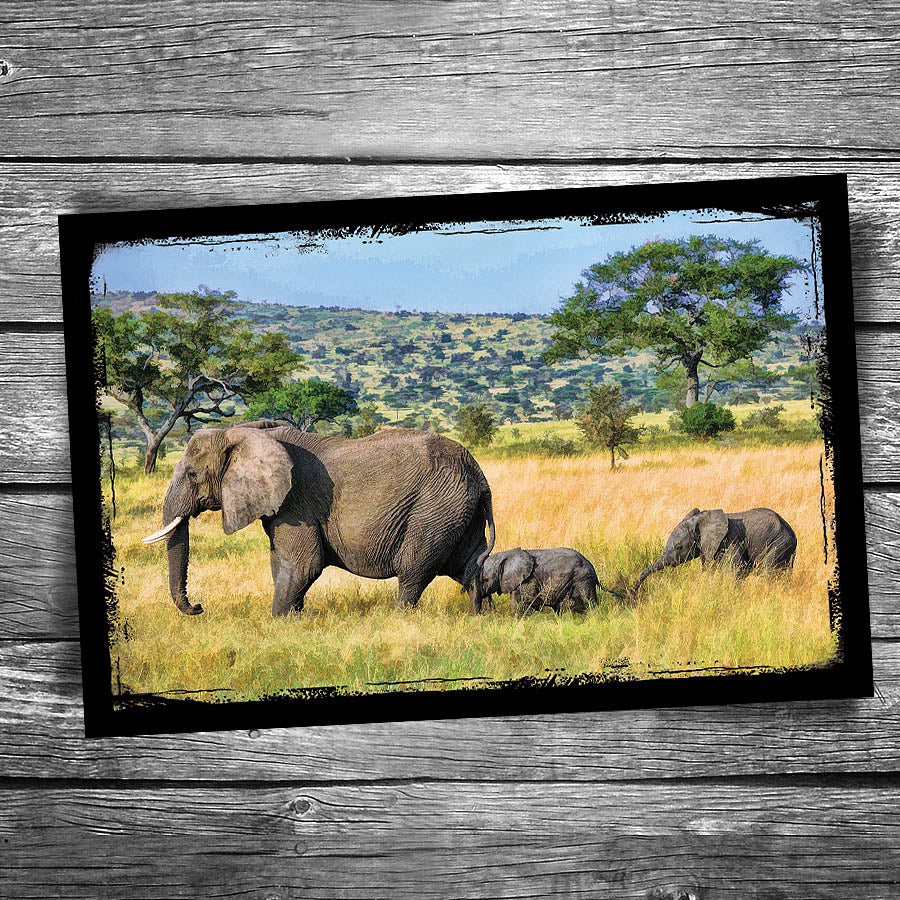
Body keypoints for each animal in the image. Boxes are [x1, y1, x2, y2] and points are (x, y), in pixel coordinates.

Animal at [142, 421, 495, 617]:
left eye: (192, 474)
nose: (199, 607)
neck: (241, 433)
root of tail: (479, 474)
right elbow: (282, 564)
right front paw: (296, 619)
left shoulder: (296, 502)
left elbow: (302, 565)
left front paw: (281, 623)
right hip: (457, 508)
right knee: (469, 566)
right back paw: (484, 617)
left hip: (435, 508)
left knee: (413, 569)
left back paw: (400, 618)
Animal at [633, 507, 797, 594]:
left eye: (679, 547)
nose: (633, 592)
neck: (702, 520)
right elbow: (708, 570)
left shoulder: (730, 540)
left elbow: (739, 569)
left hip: (779, 544)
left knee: (769, 571)